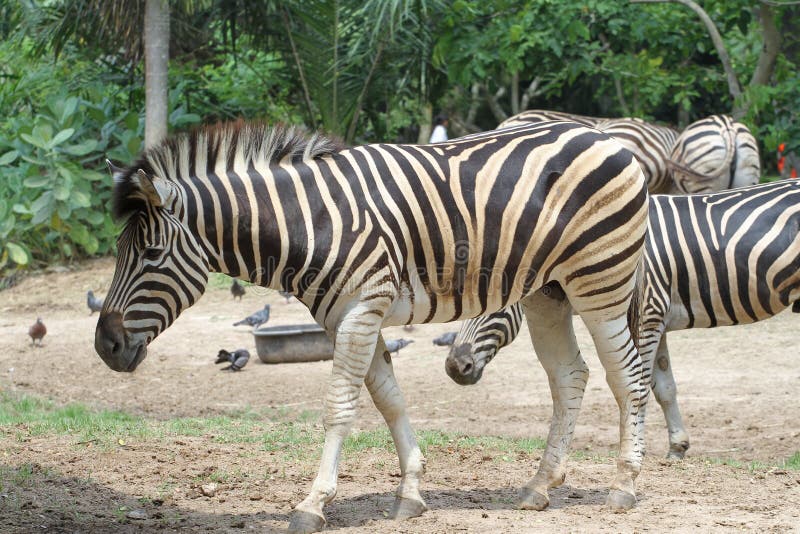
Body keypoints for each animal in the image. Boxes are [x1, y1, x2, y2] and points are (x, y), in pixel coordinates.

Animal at [94, 119, 649, 531]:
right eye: (119, 250)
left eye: (151, 254)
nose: (104, 345)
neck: (309, 222)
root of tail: (602, 136)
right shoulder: (347, 314)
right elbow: (390, 400)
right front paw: (411, 494)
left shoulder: (362, 308)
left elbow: (339, 409)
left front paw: (313, 504)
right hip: (547, 293)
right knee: (570, 376)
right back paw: (539, 486)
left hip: (600, 283)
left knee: (629, 378)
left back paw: (624, 486)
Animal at [446, 179, 800, 459]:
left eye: (497, 307)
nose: (455, 368)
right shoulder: (658, 320)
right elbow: (664, 386)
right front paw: (677, 447)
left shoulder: (649, 314)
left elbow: (640, 382)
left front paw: (637, 448)